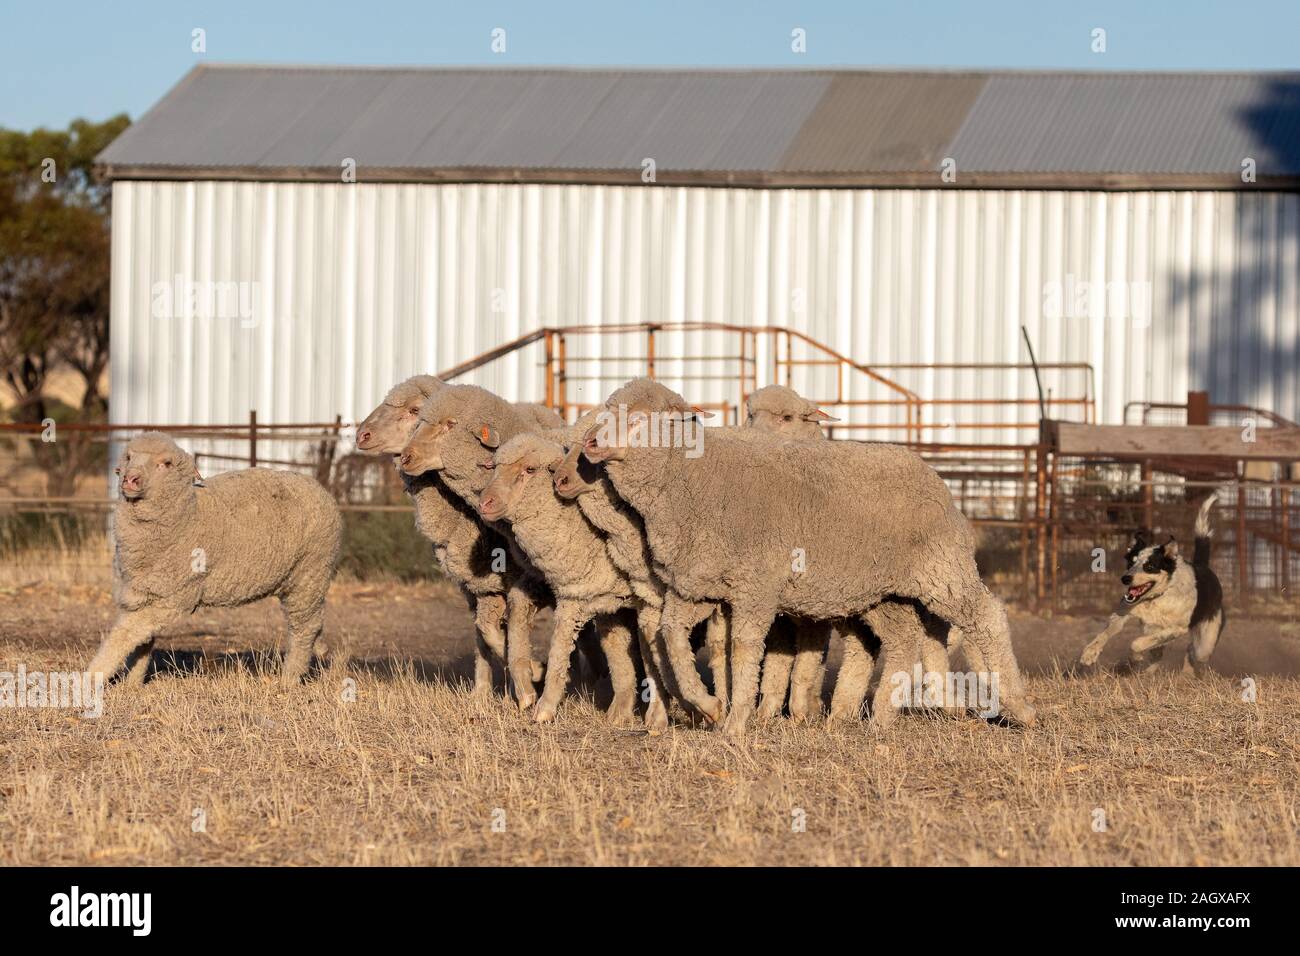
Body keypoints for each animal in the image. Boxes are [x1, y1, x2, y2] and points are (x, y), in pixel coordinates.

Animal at [86, 432, 341, 690]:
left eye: (166, 464)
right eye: (128, 457)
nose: (130, 479)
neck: (187, 517)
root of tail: (321, 490)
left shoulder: (173, 599)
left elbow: (125, 633)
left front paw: (92, 676)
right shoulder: (142, 593)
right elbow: (142, 640)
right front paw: (131, 684)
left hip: (309, 574)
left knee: (304, 628)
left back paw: (289, 678)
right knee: (313, 624)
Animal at [356, 375, 540, 696]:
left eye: (414, 410)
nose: (362, 435)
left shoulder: (515, 579)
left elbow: (509, 630)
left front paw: (531, 674)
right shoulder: (474, 586)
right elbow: (484, 632)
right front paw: (481, 693)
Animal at [477, 432, 646, 725]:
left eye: (530, 469)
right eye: (494, 467)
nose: (484, 503)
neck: (583, 531)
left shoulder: (575, 597)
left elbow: (558, 651)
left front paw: (544, 708)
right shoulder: (591, 596)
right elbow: (617, 653)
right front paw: (527, 685)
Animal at [583, 378, 1034, 737]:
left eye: (640, 419)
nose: (589, 444)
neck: (693, 480)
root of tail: (930, 472)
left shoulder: (756, 587)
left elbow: (744, 648)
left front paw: (735, 723)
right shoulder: (694, 586)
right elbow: (670, 638)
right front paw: (709, 708)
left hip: (942, 568)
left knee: (987, 617)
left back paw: (1020, 707)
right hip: (880, 593)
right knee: (903, 638)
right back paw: (881, 718)